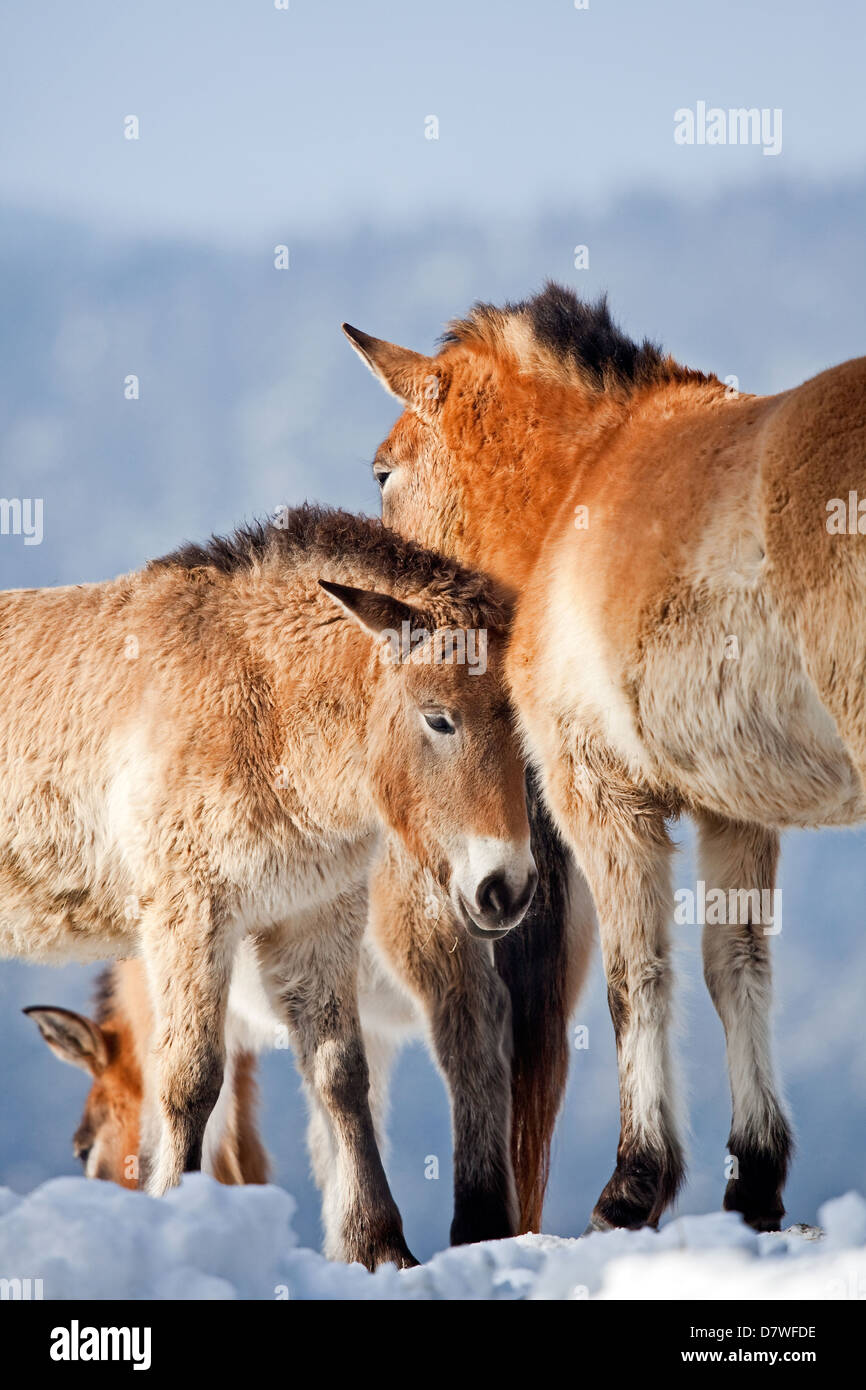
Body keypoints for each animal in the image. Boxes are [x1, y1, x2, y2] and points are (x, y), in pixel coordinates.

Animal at [5, 503, 536, 1268]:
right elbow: (191, 1080)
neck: (258, 702)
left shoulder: (317, 916)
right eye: (438, 716)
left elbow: (340, 1073)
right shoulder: (190, 913)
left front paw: (378, 1246)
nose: (505, 889)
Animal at [342, 283, 866, 1233]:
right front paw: (755, 1181)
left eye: (382, 471)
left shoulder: (599, 797)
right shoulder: (734, 810)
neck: (582, 485)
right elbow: (736, 969)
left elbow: (636, 978)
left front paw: (633, 1185)